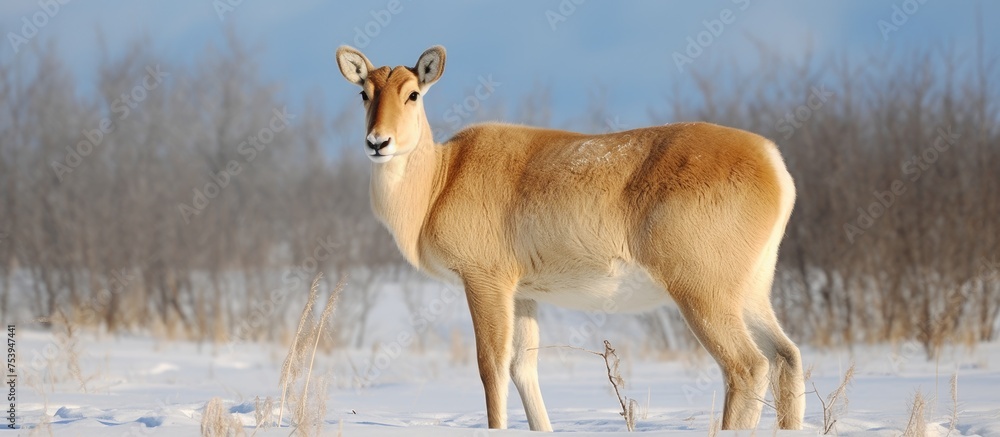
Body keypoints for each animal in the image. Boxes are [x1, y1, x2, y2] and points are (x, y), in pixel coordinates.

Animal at [335, 44, 804, 431]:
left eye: (413, 93)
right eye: (364, 93)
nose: (378, 142)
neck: (439, 179)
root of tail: (772, 160)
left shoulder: (485, 282)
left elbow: (491, 366)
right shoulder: (523, 294)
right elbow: (522, 368)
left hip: (703, 294)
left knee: (747, 367)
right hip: (751, 293)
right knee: (786, 356)